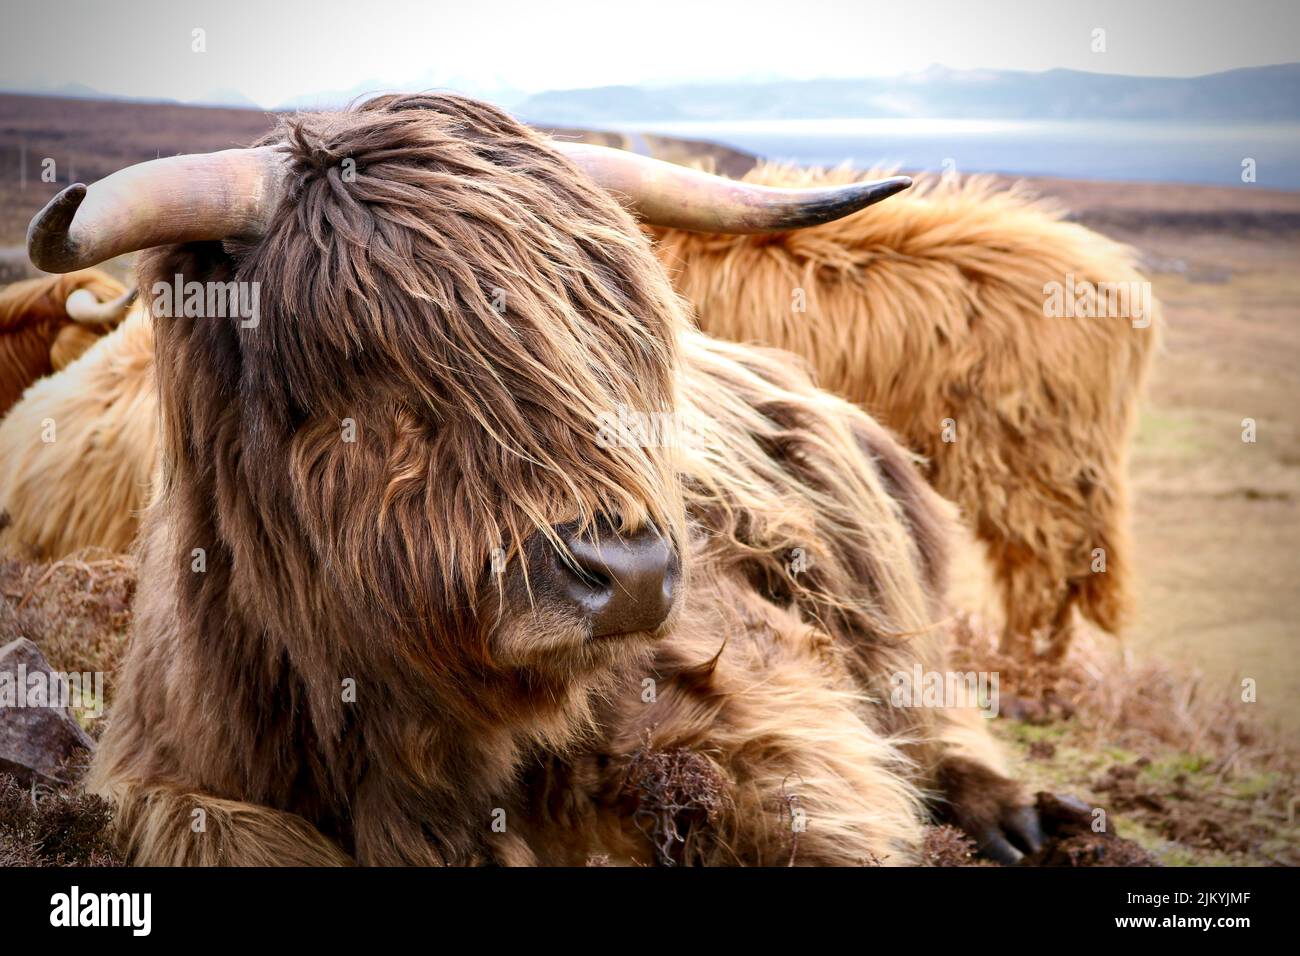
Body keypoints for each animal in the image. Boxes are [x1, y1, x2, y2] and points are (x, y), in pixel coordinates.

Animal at [24, 93, 1037, 865]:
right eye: (366, 356)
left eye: (624, 344)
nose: (629, 575)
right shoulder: (168, 780)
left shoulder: (775, 734)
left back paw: (1023, 818)